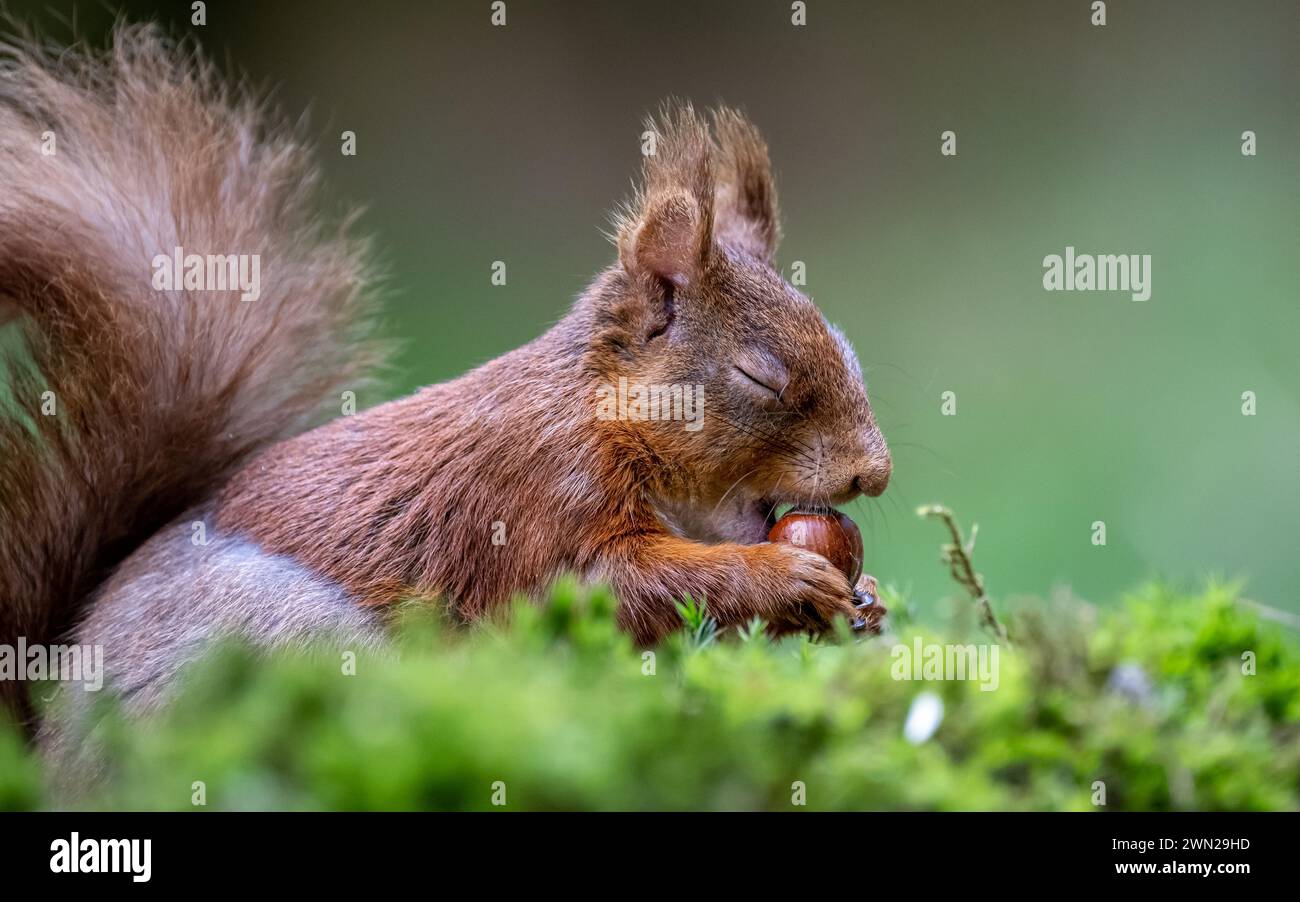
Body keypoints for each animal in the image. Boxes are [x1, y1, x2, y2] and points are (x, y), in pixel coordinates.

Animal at [0, 26, 891, 732]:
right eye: (760, 378)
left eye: (849, 348)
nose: (873, 474)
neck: (602, 418)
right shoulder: (534, 500)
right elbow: (611, 585)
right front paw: (782, 576)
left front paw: (868, 597)